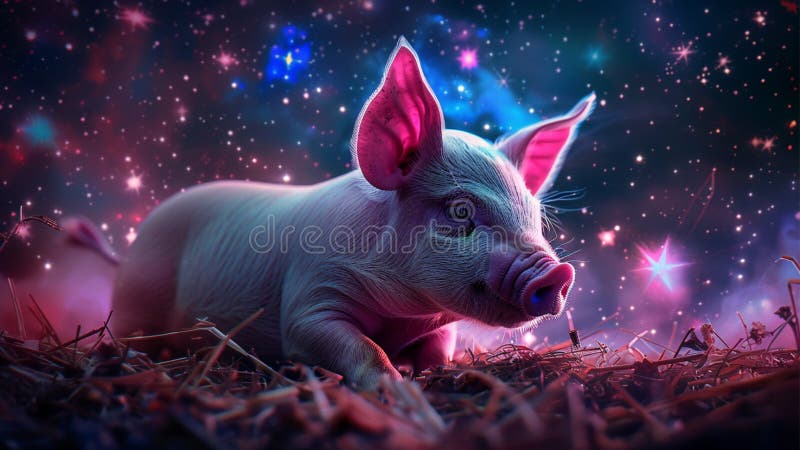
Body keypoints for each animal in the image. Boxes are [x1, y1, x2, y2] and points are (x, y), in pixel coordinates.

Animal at [73, 38, 594, 389]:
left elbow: (439, 351)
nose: (557, 272)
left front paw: (432, 374)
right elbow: (355, 347)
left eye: (534, 214)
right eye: (461, 209)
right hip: (136, 302)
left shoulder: (436, 325)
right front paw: (395, 387)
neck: (403, 313)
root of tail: (127, 251)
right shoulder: (309, 299)